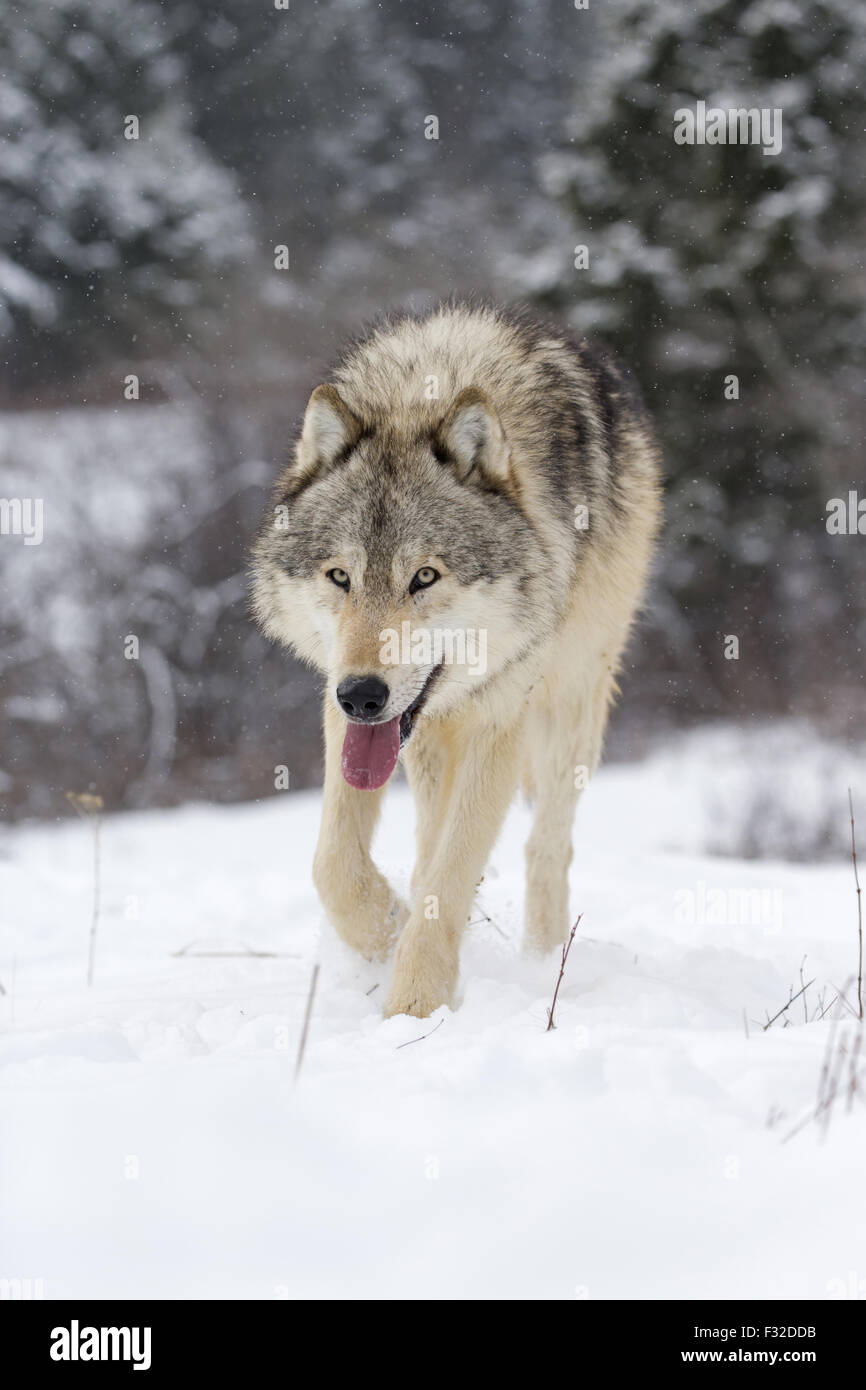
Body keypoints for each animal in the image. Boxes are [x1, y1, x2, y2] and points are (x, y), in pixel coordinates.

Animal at [251, 300, 661, 1018]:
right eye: (340, 576)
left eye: (424, 577)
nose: (363, 695)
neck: (424, 392)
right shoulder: (344, 708)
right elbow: (334, 865)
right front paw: (386, 929)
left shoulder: (500, 720)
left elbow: (452, 873)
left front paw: (414, 1008)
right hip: (428, 738)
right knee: (424, 839)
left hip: (572, 699)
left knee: (547, 846)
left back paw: (543, 965)